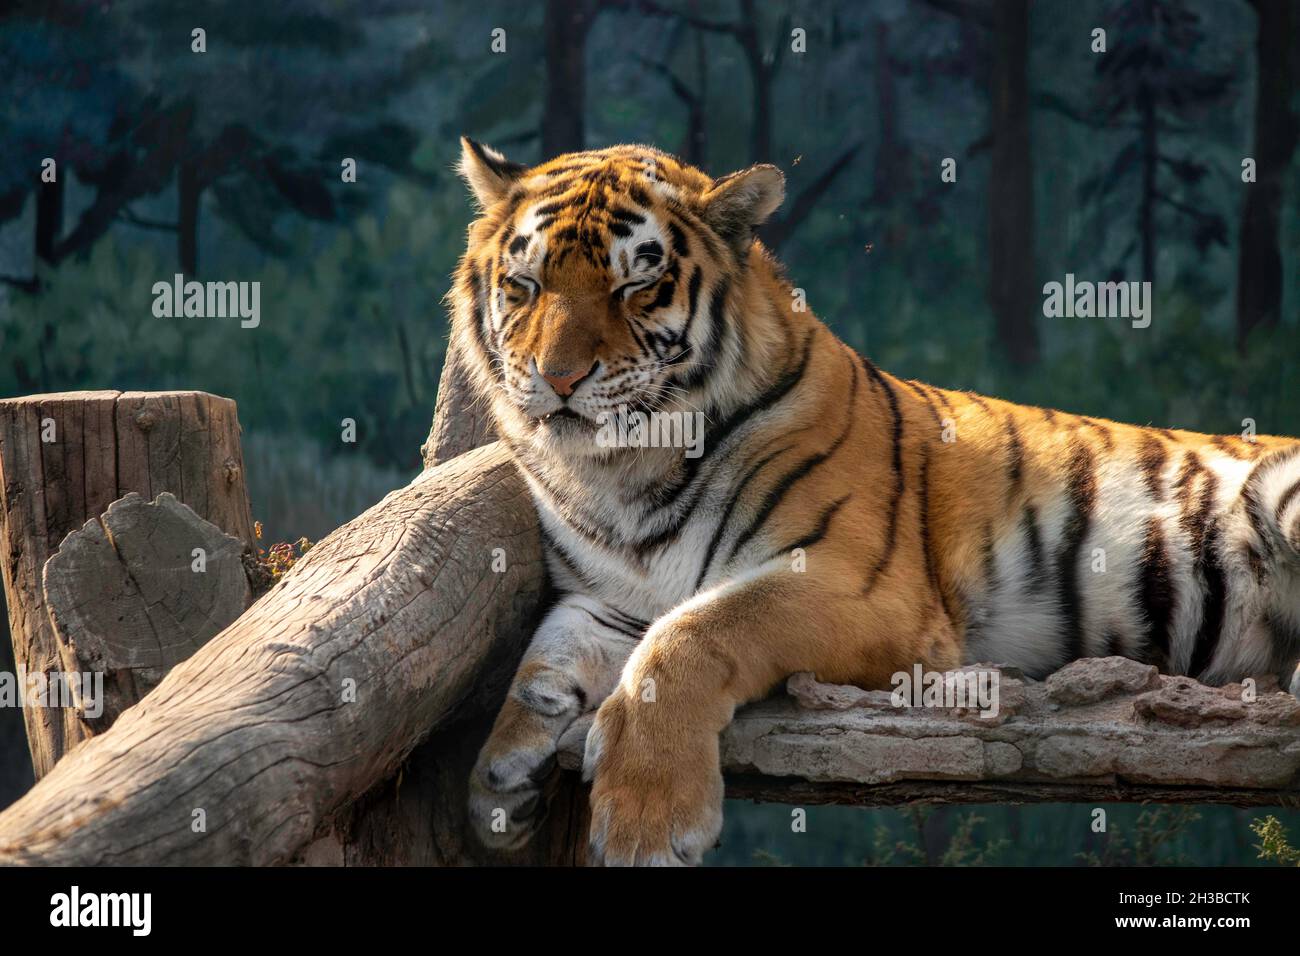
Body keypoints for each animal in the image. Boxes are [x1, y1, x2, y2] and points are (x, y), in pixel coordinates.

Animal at [452, 136, 1300, 866]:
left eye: (634, 285)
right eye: (524, 285)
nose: (557, 379)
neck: (622, 475)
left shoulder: (857, 584)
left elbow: (693, 633)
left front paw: (646, 820)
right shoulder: (611, 600)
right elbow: (543, 659)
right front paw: (500, 776)